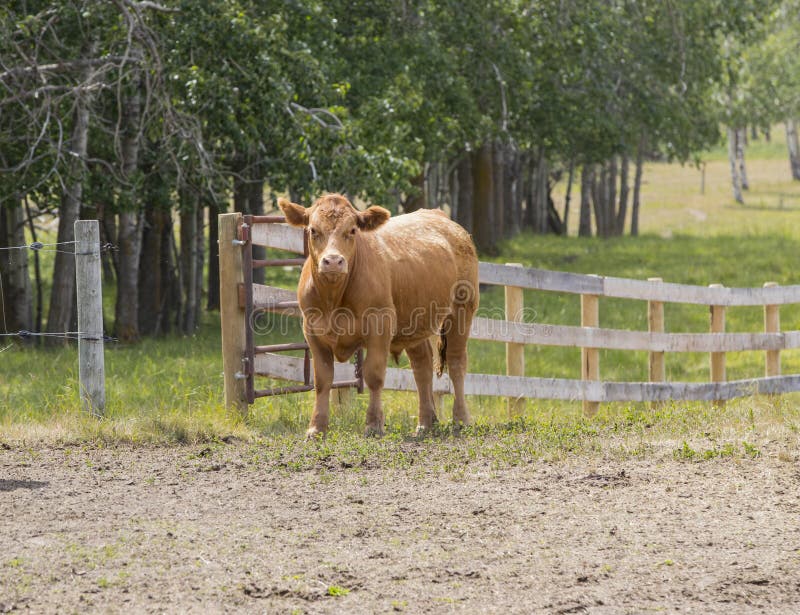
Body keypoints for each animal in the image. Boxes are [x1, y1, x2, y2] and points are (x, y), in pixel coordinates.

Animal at [278, 193, 479, 438]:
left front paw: (374, 424)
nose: (333, 261)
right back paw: (425, 423)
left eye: (352, 230)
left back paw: (461, 419)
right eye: (313, 230)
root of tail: (442, 218)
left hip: (461, 311)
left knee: (457, 362)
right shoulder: (313, 331)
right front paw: (317, 428)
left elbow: (373, 375)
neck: (334, 299)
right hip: (414, 322)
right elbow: (323, 379)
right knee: (422, 367)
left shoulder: (379, 325)